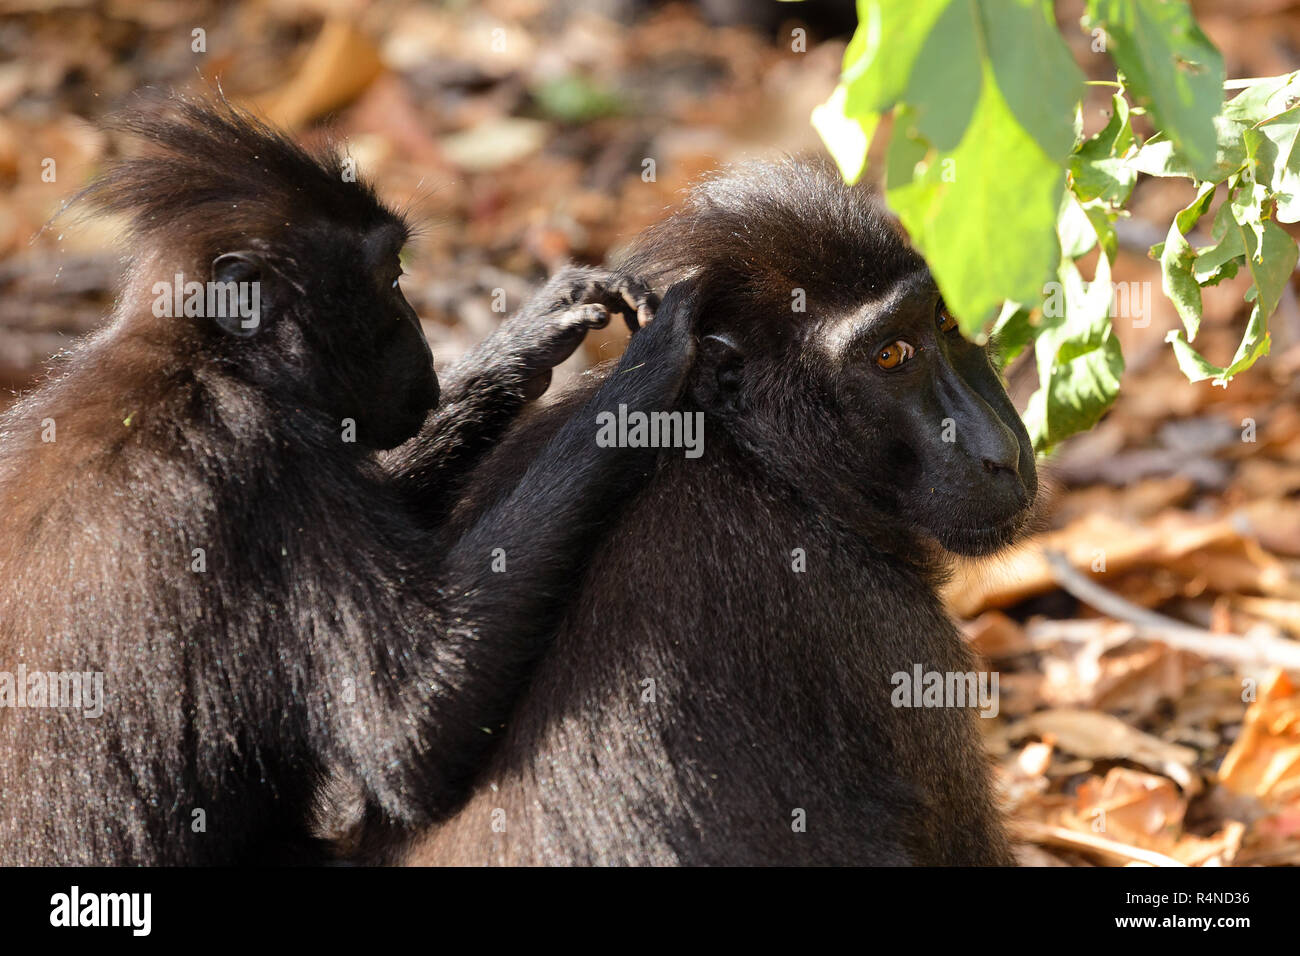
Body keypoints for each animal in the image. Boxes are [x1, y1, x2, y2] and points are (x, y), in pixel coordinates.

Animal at [0, 98, 691, 865]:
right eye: (391, 277)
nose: (423, 339)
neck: (204, 361)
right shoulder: (258, 466)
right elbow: (415, 733)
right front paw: (645, 377)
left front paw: (529, 338)